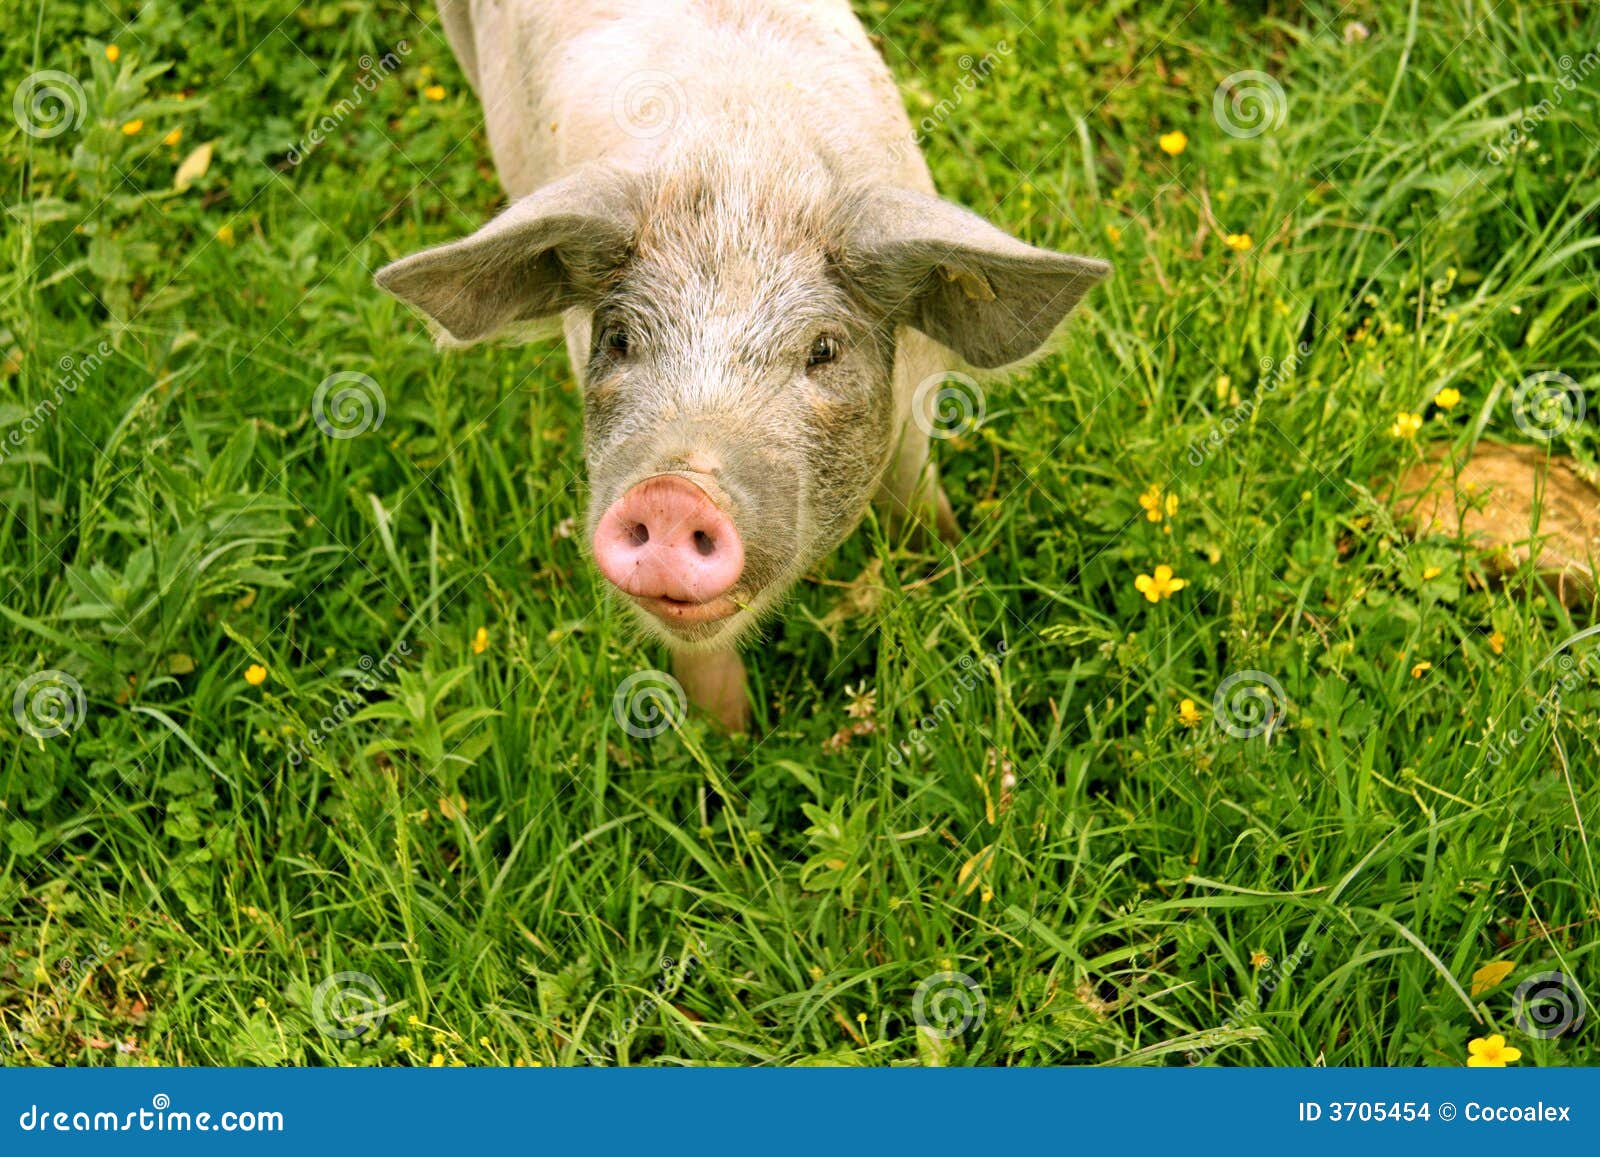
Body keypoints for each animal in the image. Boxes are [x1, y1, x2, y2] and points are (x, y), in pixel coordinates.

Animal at [375, 0, 1110, 731]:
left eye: (823, 350)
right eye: (618, 339)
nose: (671, 491)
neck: (743, 169)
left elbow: (913, 480)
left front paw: (947, 566)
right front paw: (723, 734)